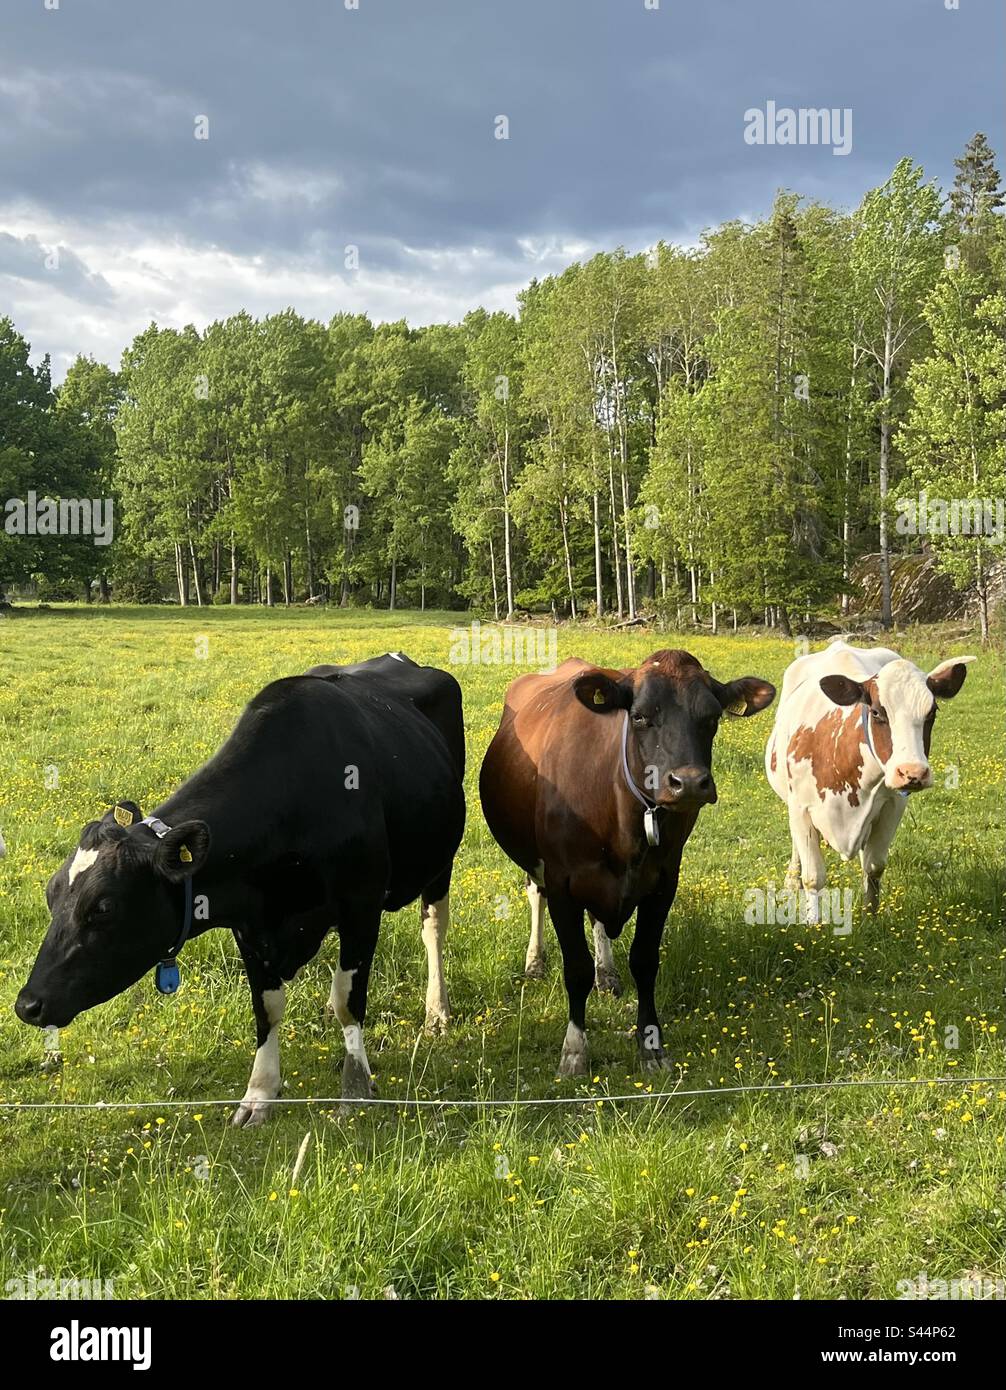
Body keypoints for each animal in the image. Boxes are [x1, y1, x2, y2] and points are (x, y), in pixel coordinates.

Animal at [15, 652, 465, 1126]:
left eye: (103, 907)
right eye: (50, 894)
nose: (28, 1004)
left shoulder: (361, 903)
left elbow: (349, 999)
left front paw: (356, 1088)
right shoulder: (249, 923)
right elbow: (266, 1008)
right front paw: (259, 1093)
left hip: (441, 862)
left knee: (433, 929)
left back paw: (437, 1012)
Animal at [479, 650, 776, 1077]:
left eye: (712, 717)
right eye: (638, 716)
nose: (689, 783)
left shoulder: (664, 881)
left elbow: (645, 960)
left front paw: (651, 1045)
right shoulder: (562, 881)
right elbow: (576, 968)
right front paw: (574, 1050)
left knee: (600, 922)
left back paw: (607, 974)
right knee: (536, 894)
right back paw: (535, 962)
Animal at [765, 640, 976, 913]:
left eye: (932, 712)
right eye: (876, 712)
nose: (913, 772)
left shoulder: (893, 806)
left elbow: (874, 867)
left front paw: (870, 916)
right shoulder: (801, 809)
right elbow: (813, 877)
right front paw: (814, 920)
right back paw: (791, 881)